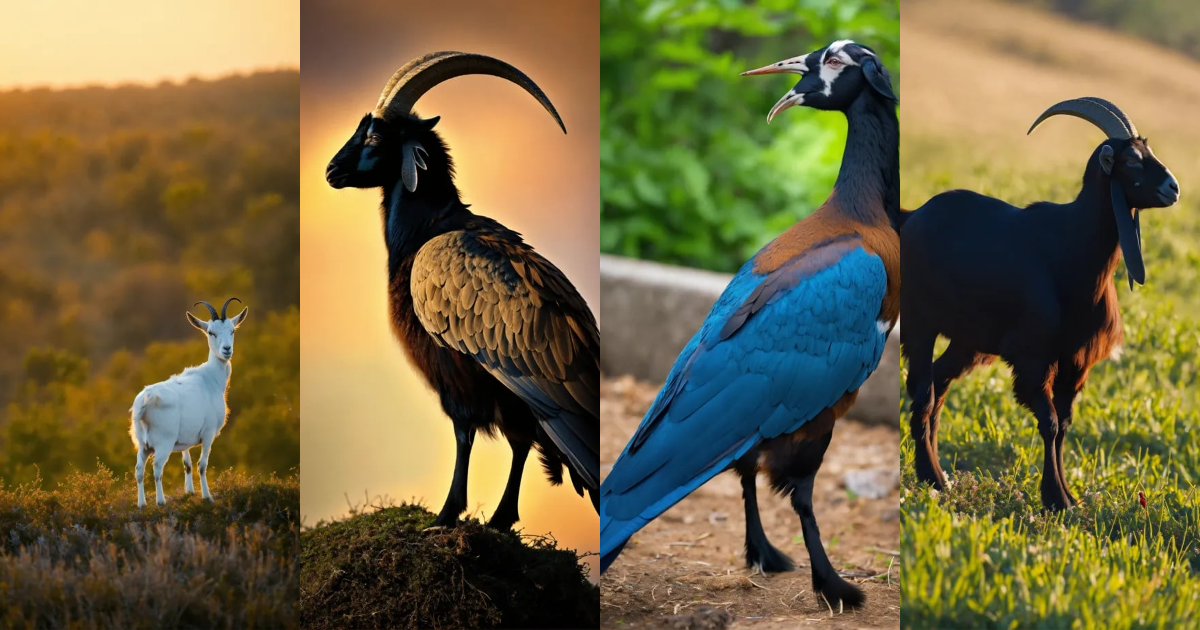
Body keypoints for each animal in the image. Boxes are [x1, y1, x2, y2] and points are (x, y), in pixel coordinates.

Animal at [130, 298, 248, 508]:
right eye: (211, 332)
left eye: (232, 330)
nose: (227, 350)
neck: (210, 378)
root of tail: (145, 400)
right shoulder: (208, 434)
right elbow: (202, 465)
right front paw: (207, 497)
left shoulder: (184, 441)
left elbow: (187, 464)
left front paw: (190, 492)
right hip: (163, 442)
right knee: (157, 468)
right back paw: (161, 501)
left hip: (142, 445)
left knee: (139, 469)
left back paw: (142, 504)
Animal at [326, 52, 600, 530]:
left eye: (375, 134)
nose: (331, 170)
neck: (430, 228)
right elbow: (512, 441)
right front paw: (497, 520)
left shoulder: (460, 371)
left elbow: (465, 433)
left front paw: (447, 514)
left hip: (555, 411)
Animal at [601, 40, 899, 610]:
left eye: (832, 61)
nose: (786, 72)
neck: (858, 213)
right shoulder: (816, 415)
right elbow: (802, 501)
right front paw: (833, 586)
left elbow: (749, 480)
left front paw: (766, 557)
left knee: (743, 475)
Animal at [901, 97, 1180, 510]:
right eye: (1131, 160)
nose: (1173, 187)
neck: (1071, 248)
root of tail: (911, 217)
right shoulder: (1033, 355)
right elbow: (1048, 422)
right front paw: (1056, 498)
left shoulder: (1075, 359)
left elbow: (1063, 424)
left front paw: (1069, 495)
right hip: (921, 322)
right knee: (923, 391)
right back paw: (931, 475)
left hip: (968, 340)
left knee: (938, 381)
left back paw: (938, 476)